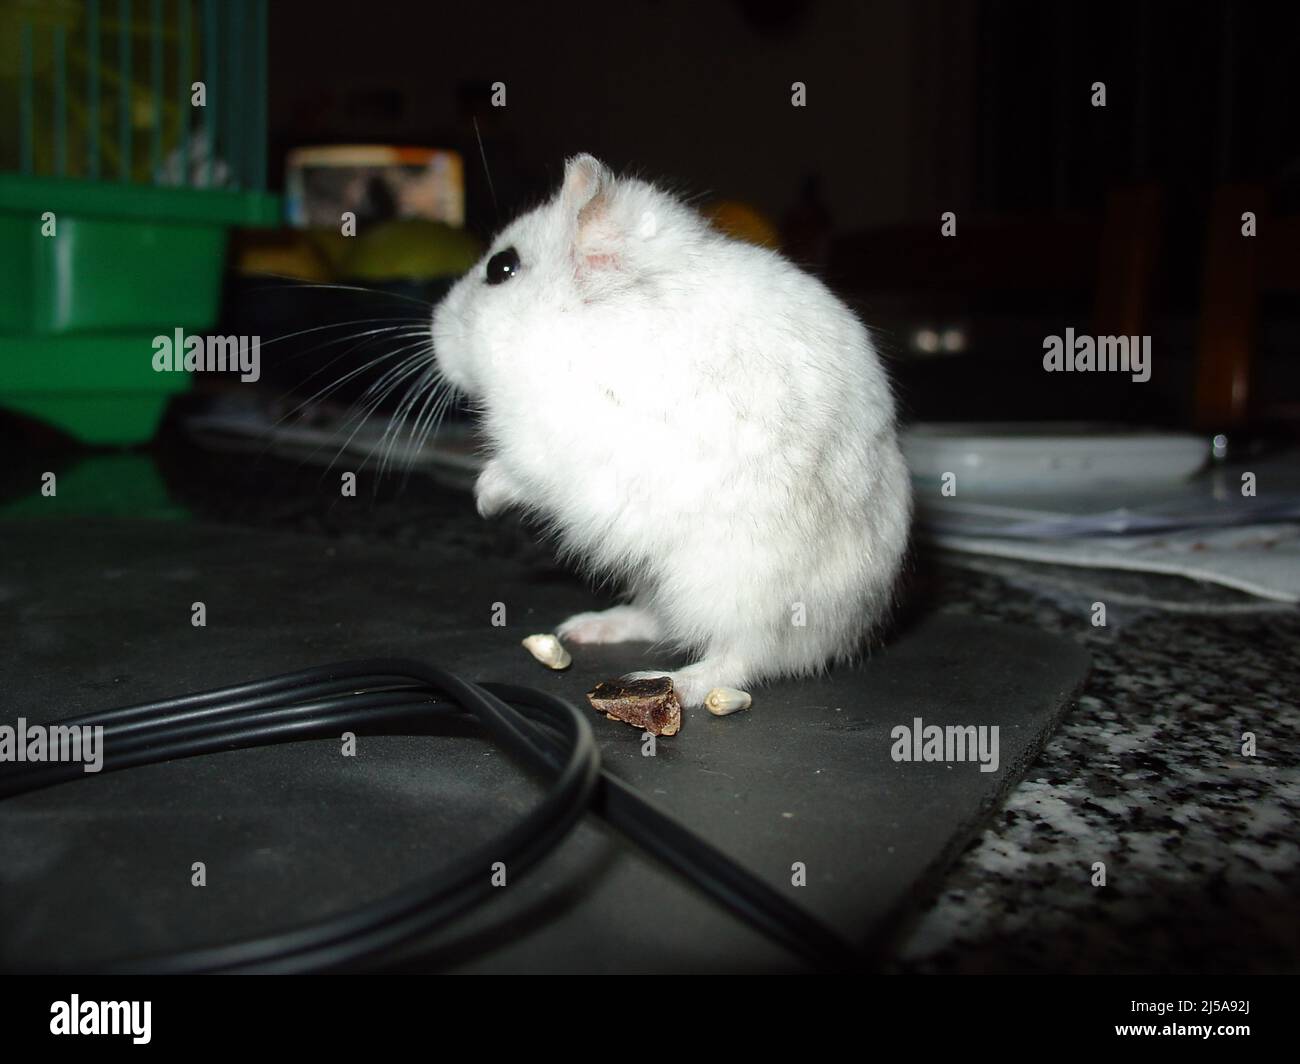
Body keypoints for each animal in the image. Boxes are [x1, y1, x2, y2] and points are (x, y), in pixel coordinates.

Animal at [432, 155, 911, 707]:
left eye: (500, 268)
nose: (433, 327)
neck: (572, 320)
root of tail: (840, 636)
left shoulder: (547, 454)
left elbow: (513, 476)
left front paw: (482, 500)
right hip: (660, 579)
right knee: (657, 621)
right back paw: (585, 627)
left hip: (735, 589)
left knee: (738, 660)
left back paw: (662, 683)